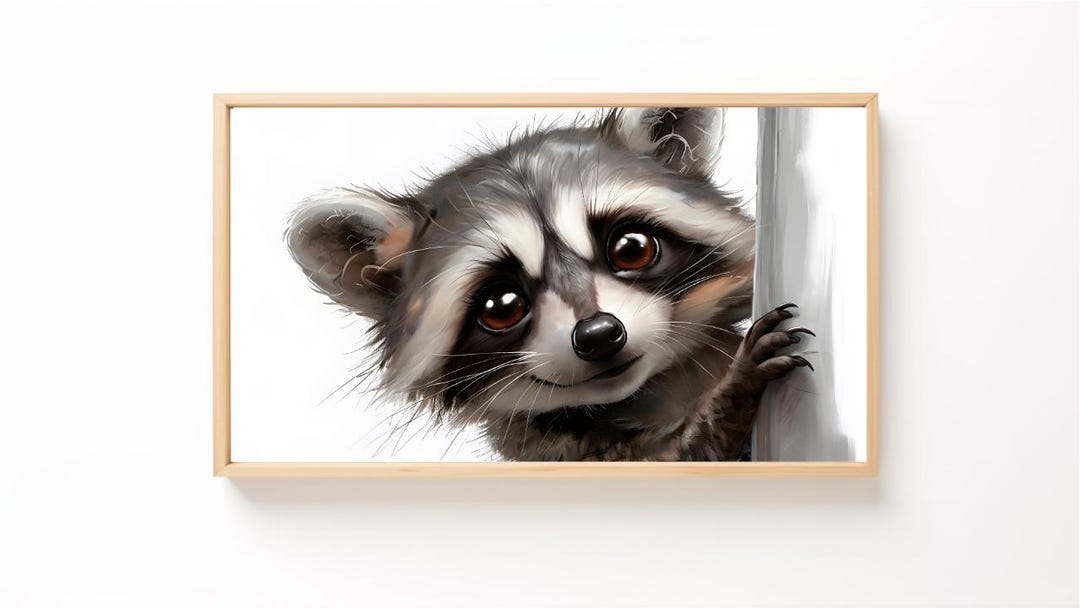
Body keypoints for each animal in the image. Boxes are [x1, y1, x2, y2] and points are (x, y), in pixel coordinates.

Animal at [286, 107, 813, 461]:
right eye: (501, 305)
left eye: (632, 249)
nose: (599, 335)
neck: (641, 395)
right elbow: (681, 454)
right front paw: (730, 395)